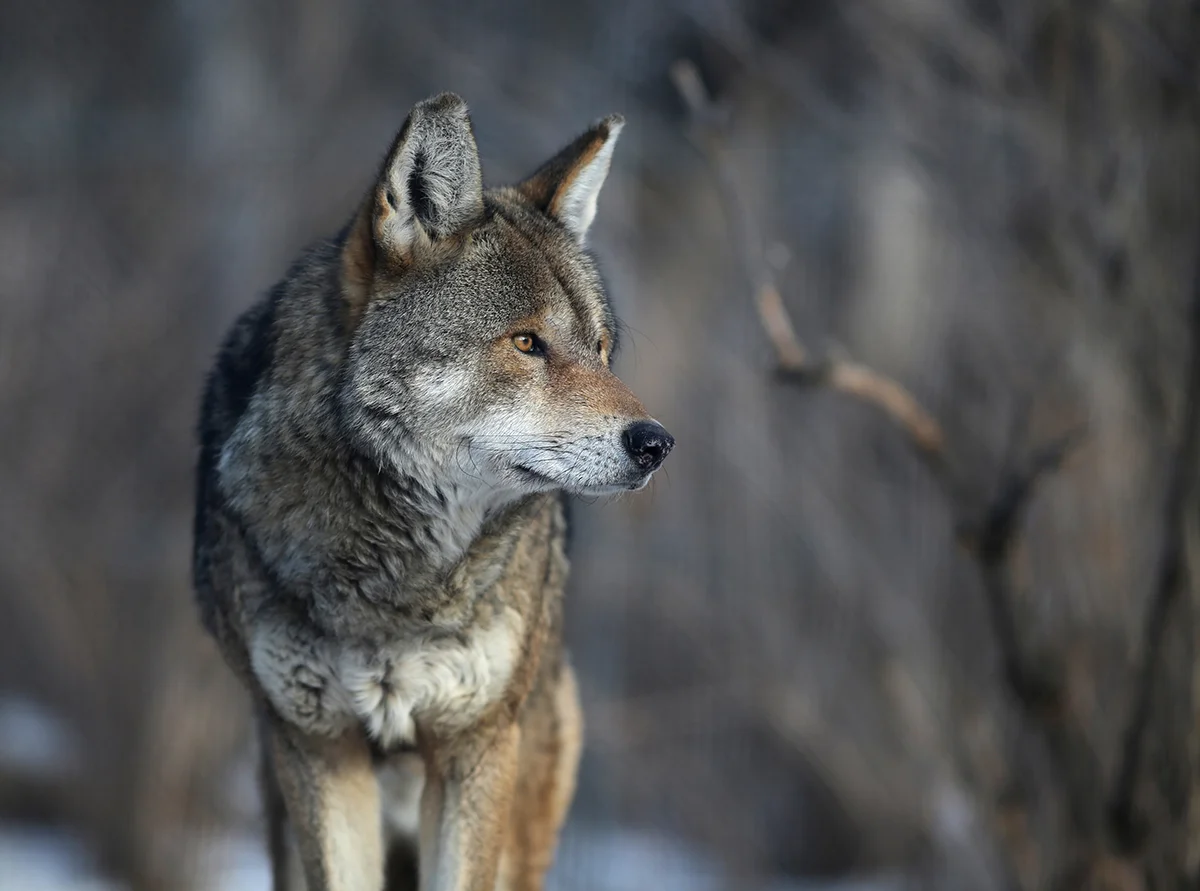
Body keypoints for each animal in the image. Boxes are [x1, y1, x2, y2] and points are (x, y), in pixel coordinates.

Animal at [192, 92, 673, 891]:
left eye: (602, 350)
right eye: (526, 342)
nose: (656, 444)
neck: (397, 580)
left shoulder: (474, 745)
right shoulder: (317, 749)